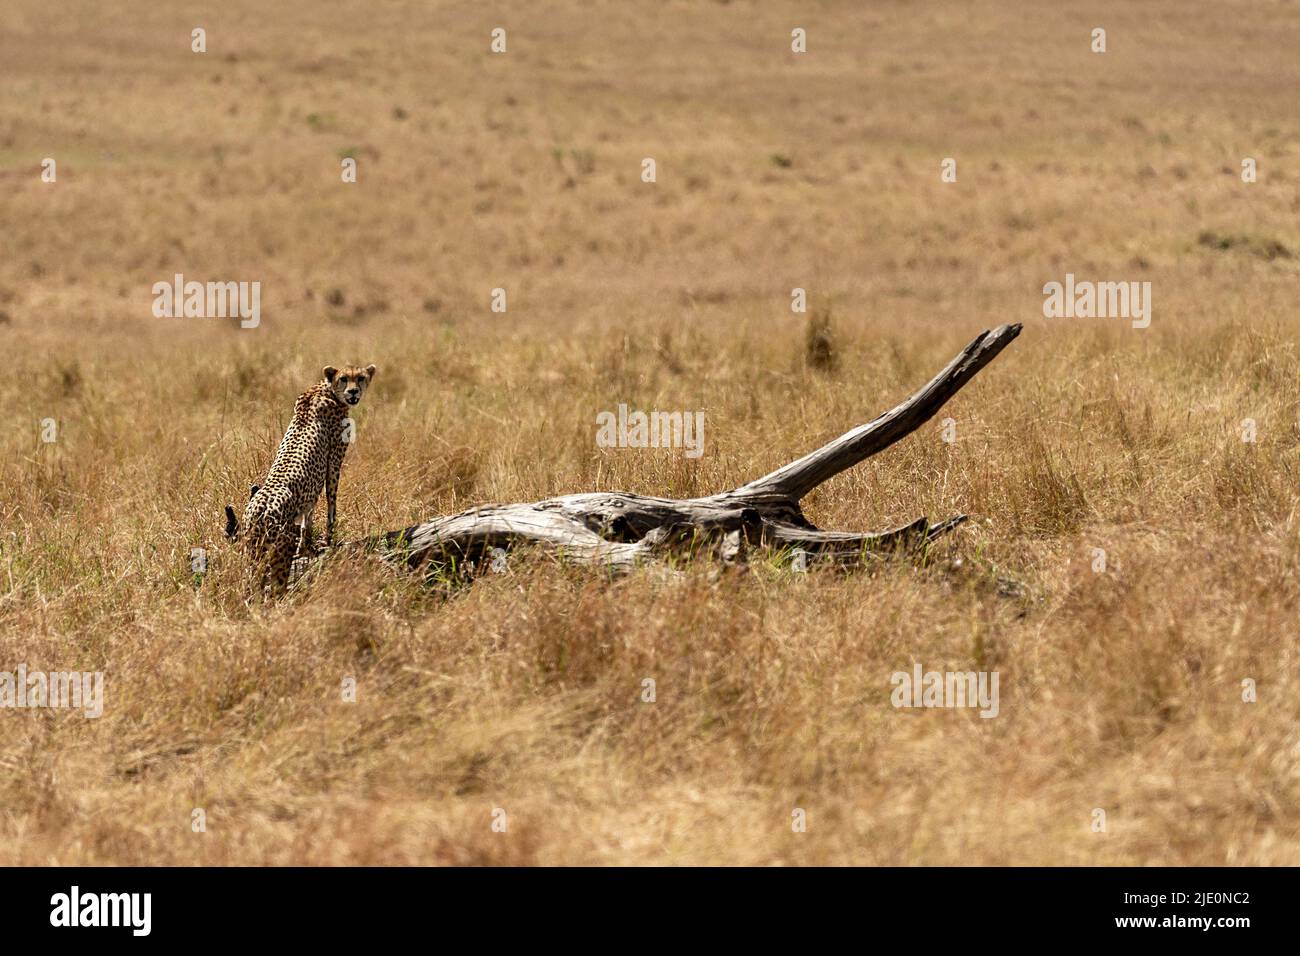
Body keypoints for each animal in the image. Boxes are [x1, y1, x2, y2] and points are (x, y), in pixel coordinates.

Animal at [225, 364, 376, 596]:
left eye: (360, 378)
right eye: (344, 379)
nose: (353, 392)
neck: (325, 389)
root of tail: (260, 508)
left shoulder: (309, 497)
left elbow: (309, 514)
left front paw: (306, 546)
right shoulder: (334, 461)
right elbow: (331, 500)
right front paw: (328, 540)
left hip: (253, 552)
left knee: (251, 585)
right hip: (279, 552)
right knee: (275, 588)